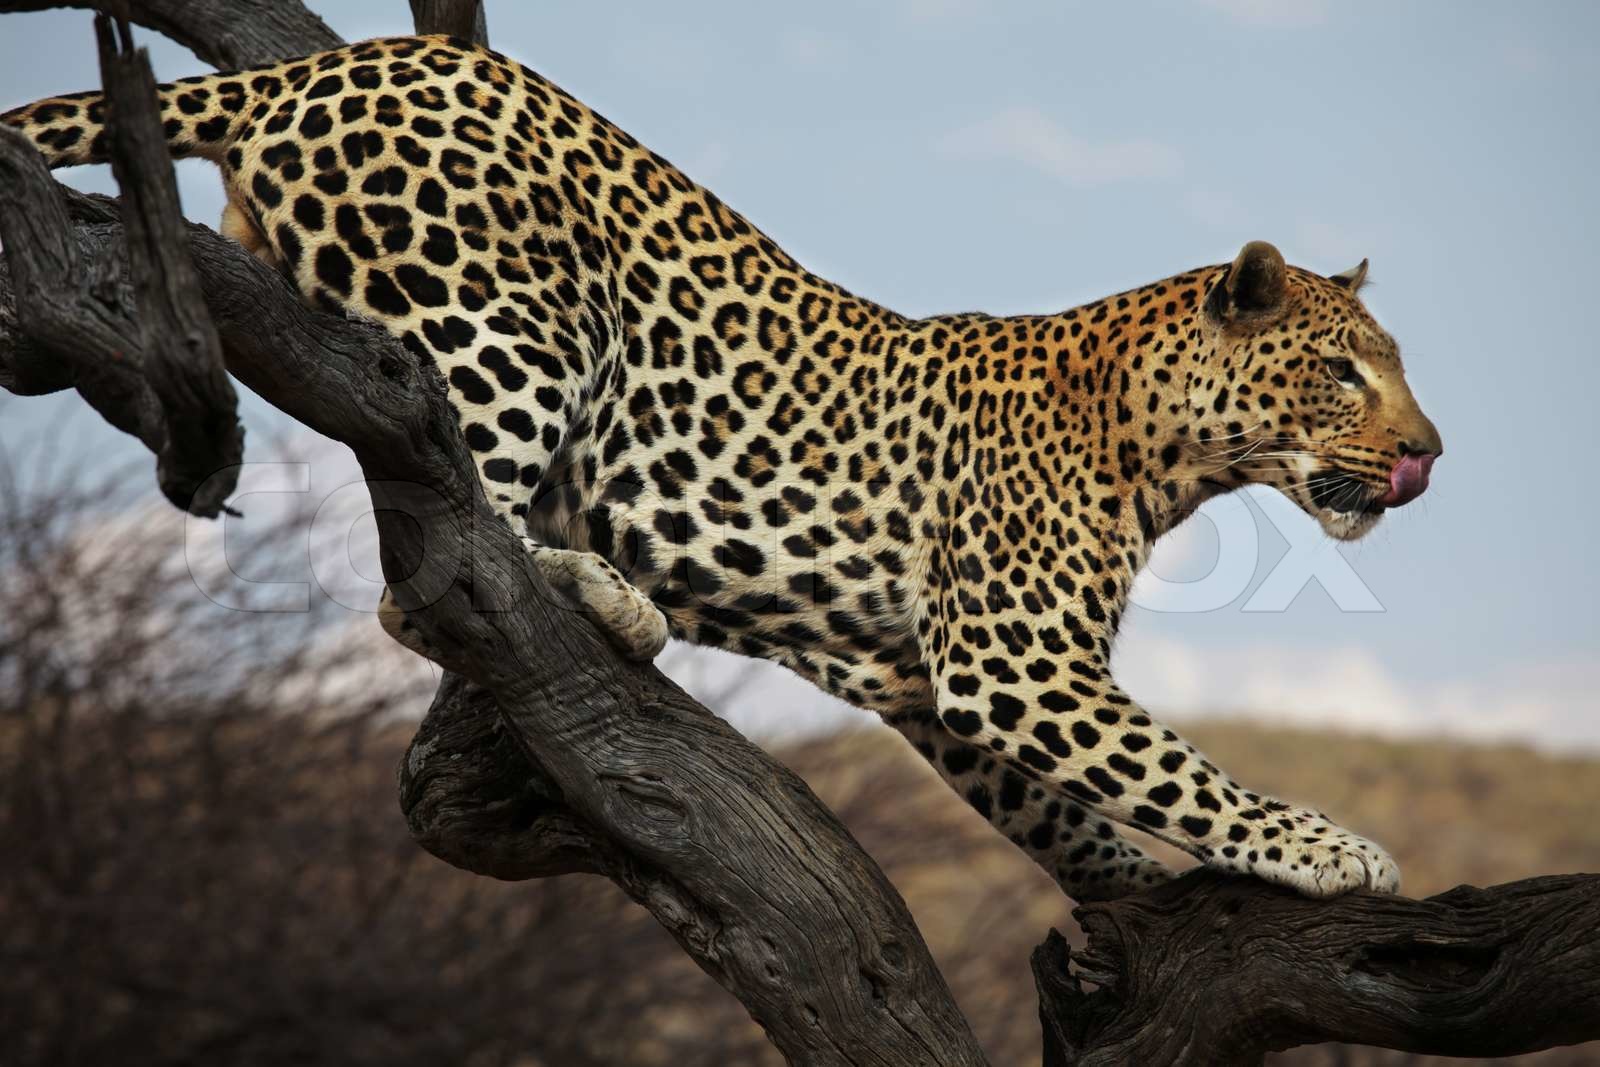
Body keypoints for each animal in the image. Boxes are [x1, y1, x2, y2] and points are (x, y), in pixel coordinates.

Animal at [4, 34, 1443, 902]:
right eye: (1344, 373)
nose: (1429, 453)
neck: (1163, 447)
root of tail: (336, 62)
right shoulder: (1014, 660)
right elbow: (1177, 770)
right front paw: (1332, 849)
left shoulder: (933, 684)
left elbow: (1078, 813)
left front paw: (1139, 895)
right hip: (514, 322)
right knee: (431, 564)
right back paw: (606, 593)